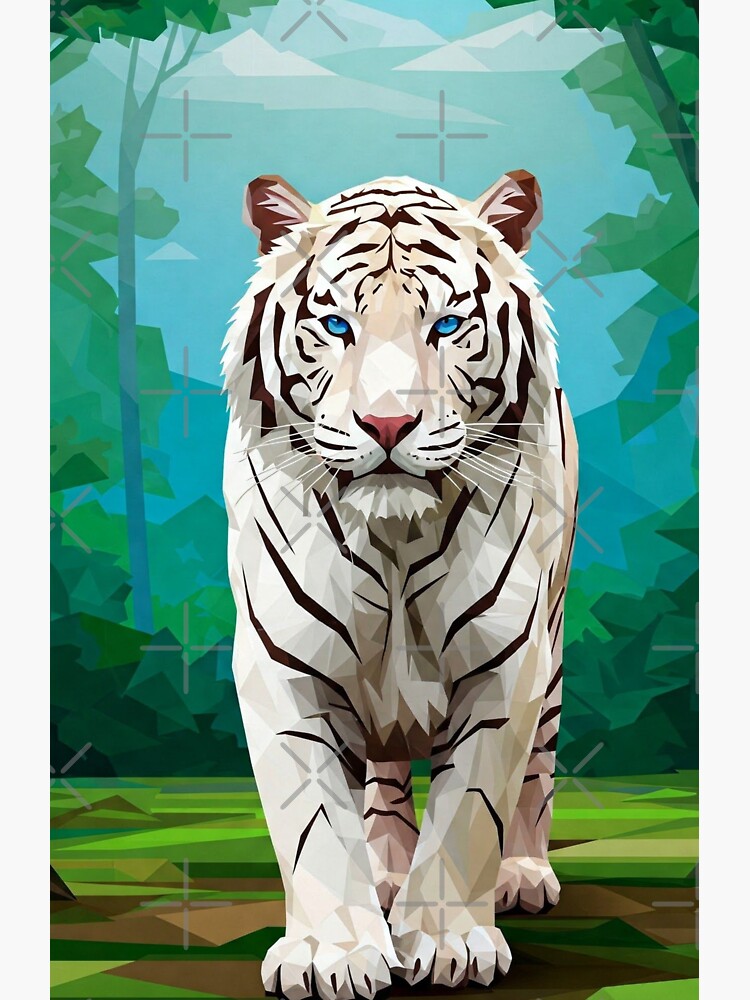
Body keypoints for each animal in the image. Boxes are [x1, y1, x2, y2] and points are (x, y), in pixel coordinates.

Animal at [222, 171, 578, 999]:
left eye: (447, 324)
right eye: (335, 324)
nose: (387, 426)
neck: (392, 536)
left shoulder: (505, 667)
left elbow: (471, 812)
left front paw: (451, 946)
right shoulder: (283, 667)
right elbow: (315, 824)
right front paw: (333, 955)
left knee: (537, 773)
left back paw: (523, 873)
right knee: (383, 775)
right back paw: (385, 869)